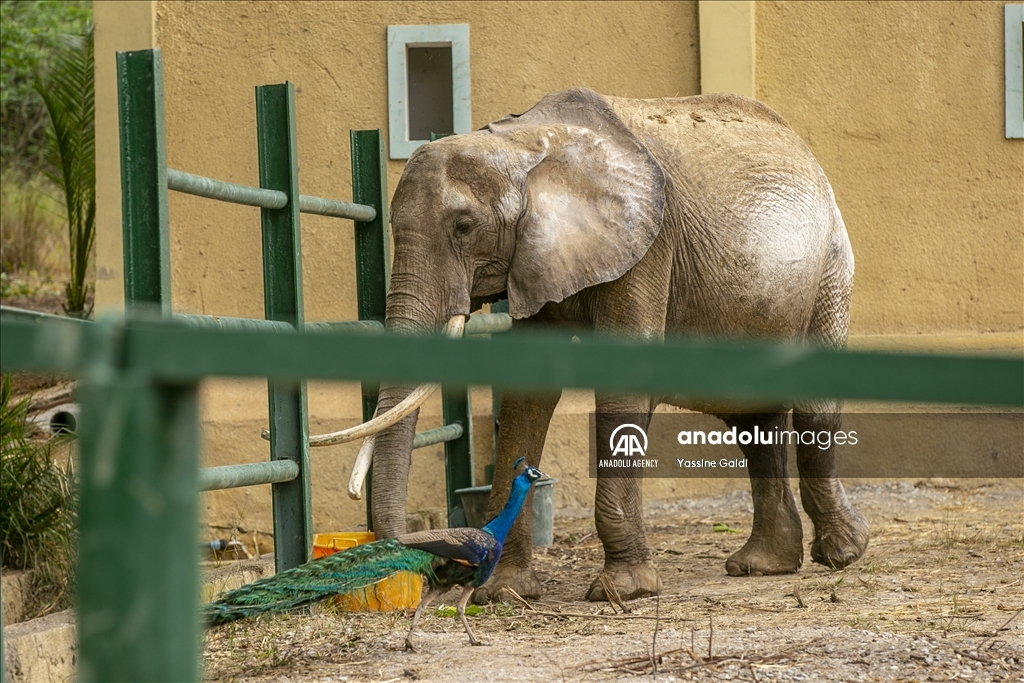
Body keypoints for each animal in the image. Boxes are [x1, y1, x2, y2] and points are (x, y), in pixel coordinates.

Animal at [346, 87, 869, 603]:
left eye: (463, 226)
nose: (439, 566)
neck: (524, 143)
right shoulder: (537, 258)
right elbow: (527, 393)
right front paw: (501, 592)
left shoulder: (650, 245)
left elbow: (623, 388)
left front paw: (624, 590)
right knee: (753, 422)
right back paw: (763, 565)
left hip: (831, 268)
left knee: (814, 411)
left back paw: (843, 553)